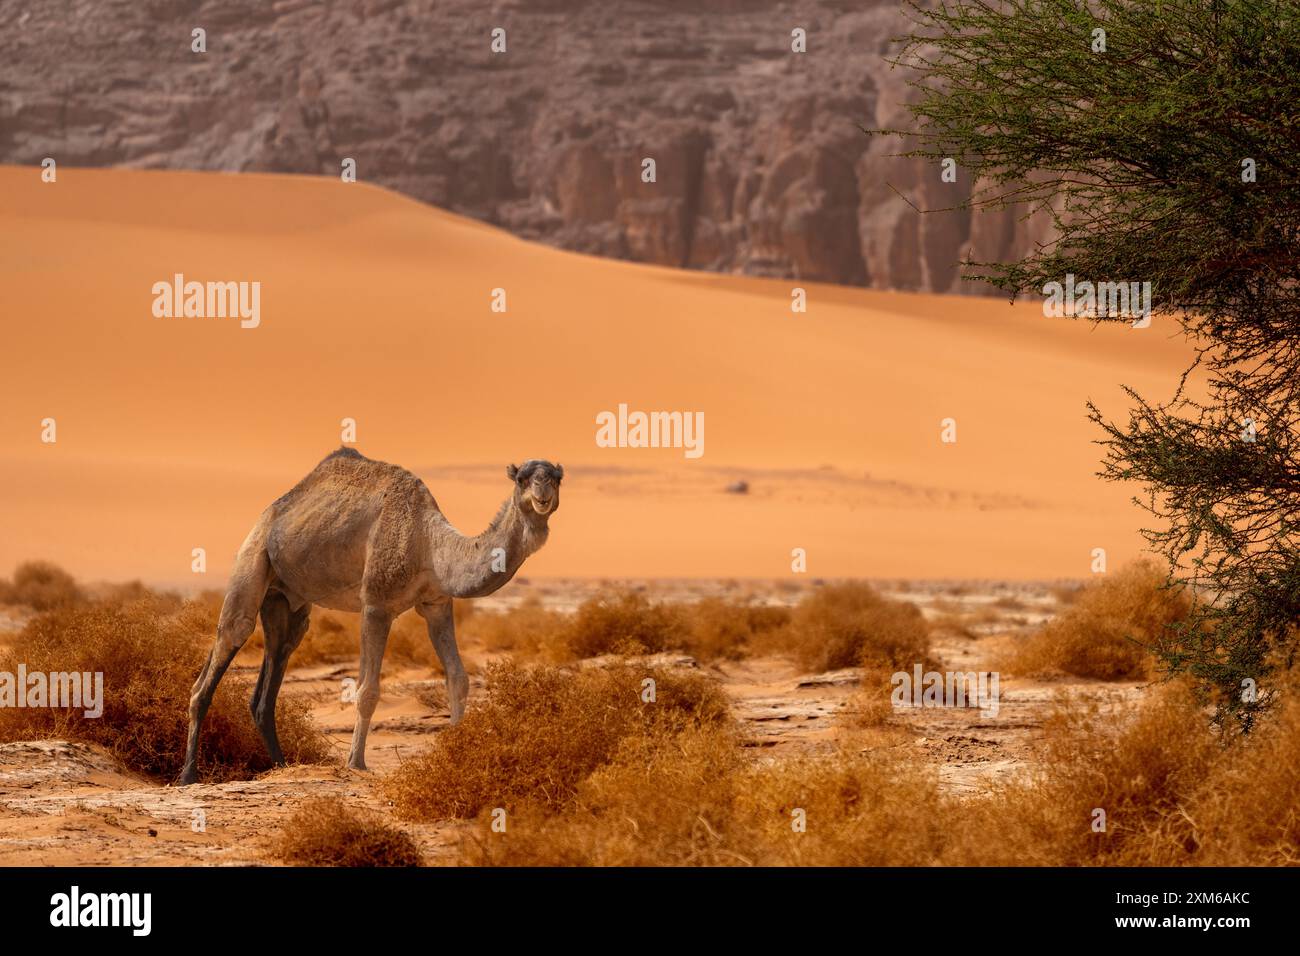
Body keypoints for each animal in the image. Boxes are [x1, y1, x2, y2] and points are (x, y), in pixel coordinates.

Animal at [178, 448, 562, 785]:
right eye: (523, 478)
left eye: (557, 477)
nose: (542, 493)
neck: (428, 543)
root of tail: (269, 513)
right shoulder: (376, 604)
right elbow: (368, 690)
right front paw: (356, 763)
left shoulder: (437, 604)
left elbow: (458, 678)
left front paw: (459, 749)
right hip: (252, 559)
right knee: (229, 639)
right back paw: (188, 775)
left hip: (288, 600)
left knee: (277, 658)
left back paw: (282, 766)